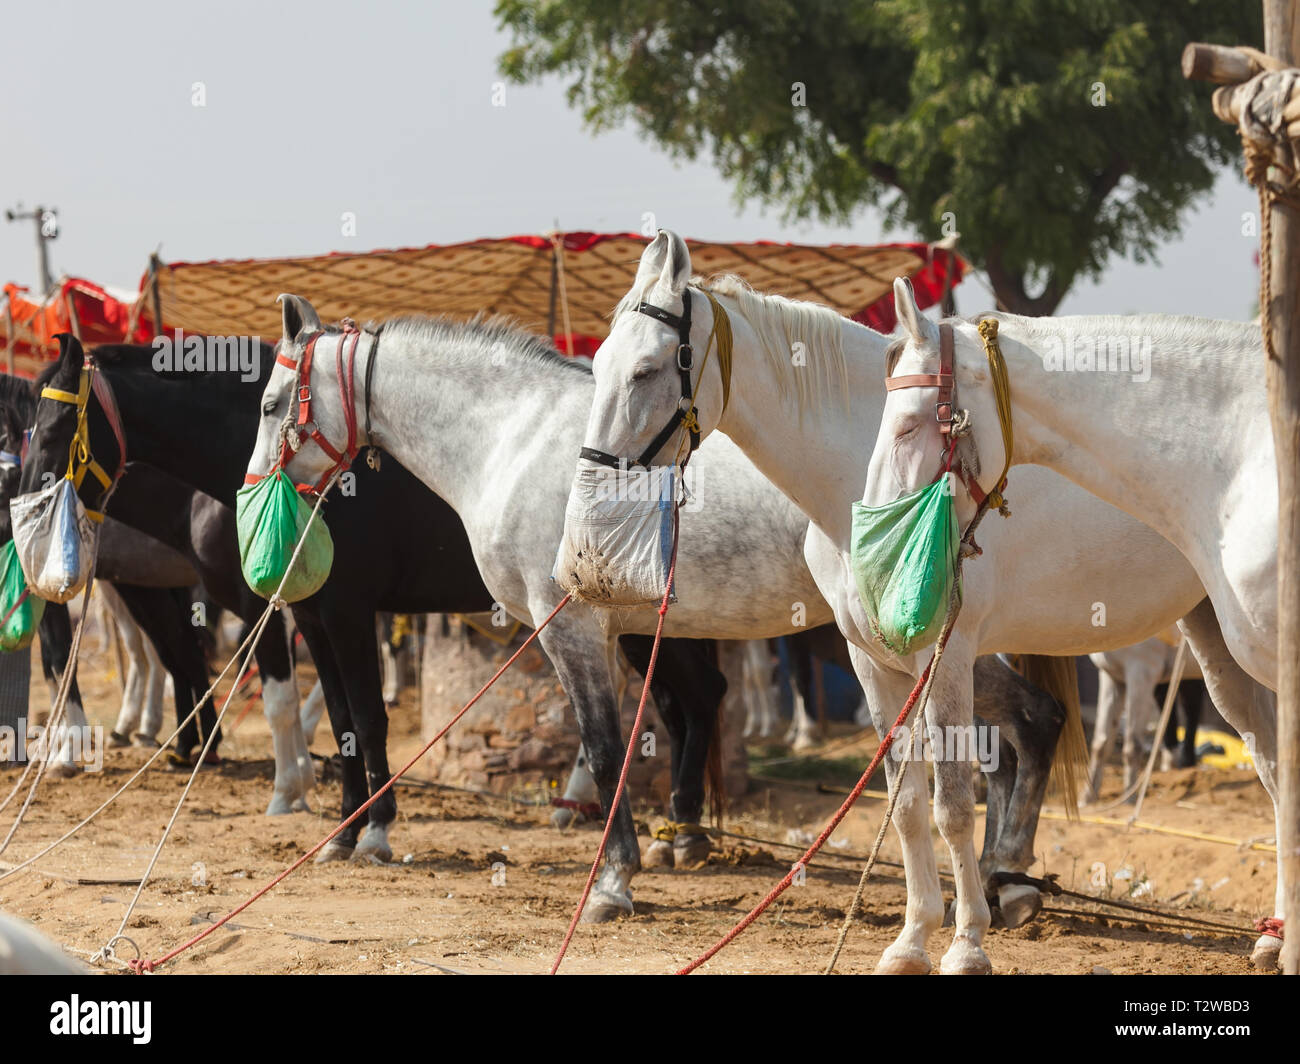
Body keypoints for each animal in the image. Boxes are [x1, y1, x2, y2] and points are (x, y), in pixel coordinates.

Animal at [243, 293, 1075, 925]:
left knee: (1032, 723)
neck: (514, 437)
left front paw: (613, 882)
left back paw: (1005, 880)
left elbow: (605, 747)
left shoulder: (571, 627)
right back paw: (1001, 879)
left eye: (272, 402)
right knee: (1016, 736)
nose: (252, 490)